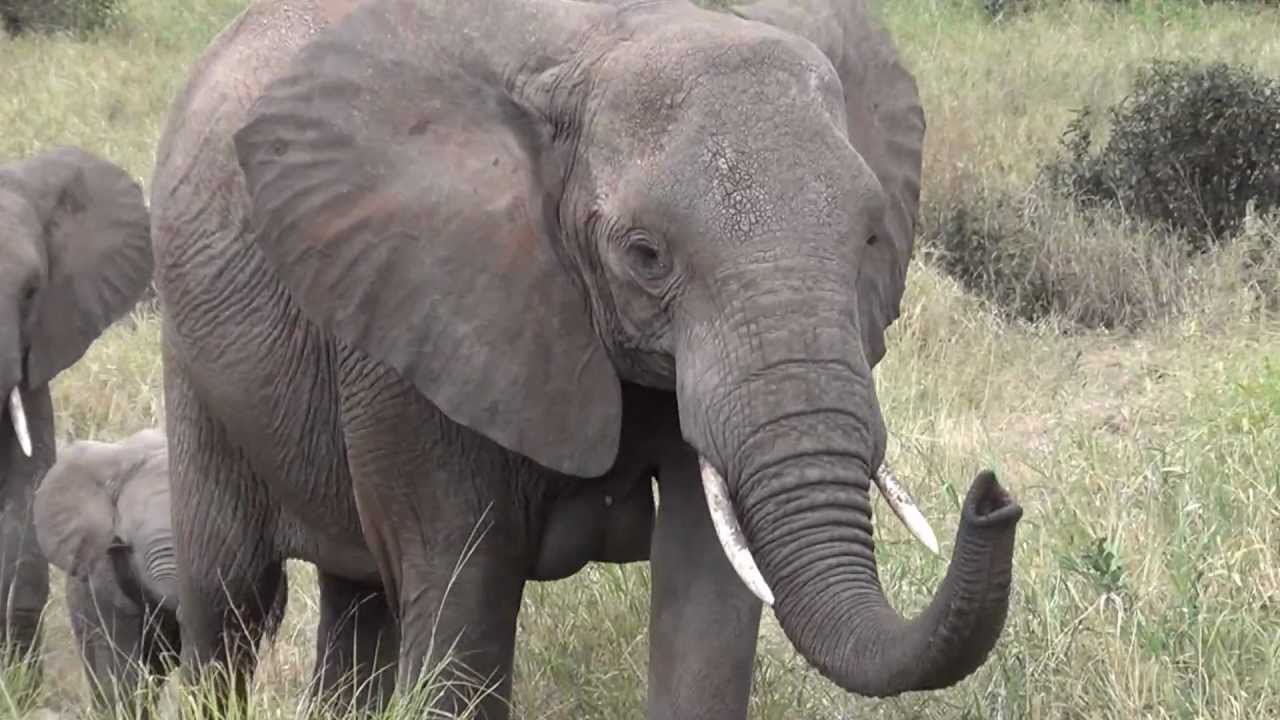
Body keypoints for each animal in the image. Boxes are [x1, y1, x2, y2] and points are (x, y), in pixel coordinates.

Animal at [149, 0, 1023, 718]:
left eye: (872, 237)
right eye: (645, 255)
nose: (994, 496)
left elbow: (709, 594)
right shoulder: (417, 312)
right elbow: (462, 595)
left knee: (355, 602)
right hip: (195, 361)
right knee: (231, 597)